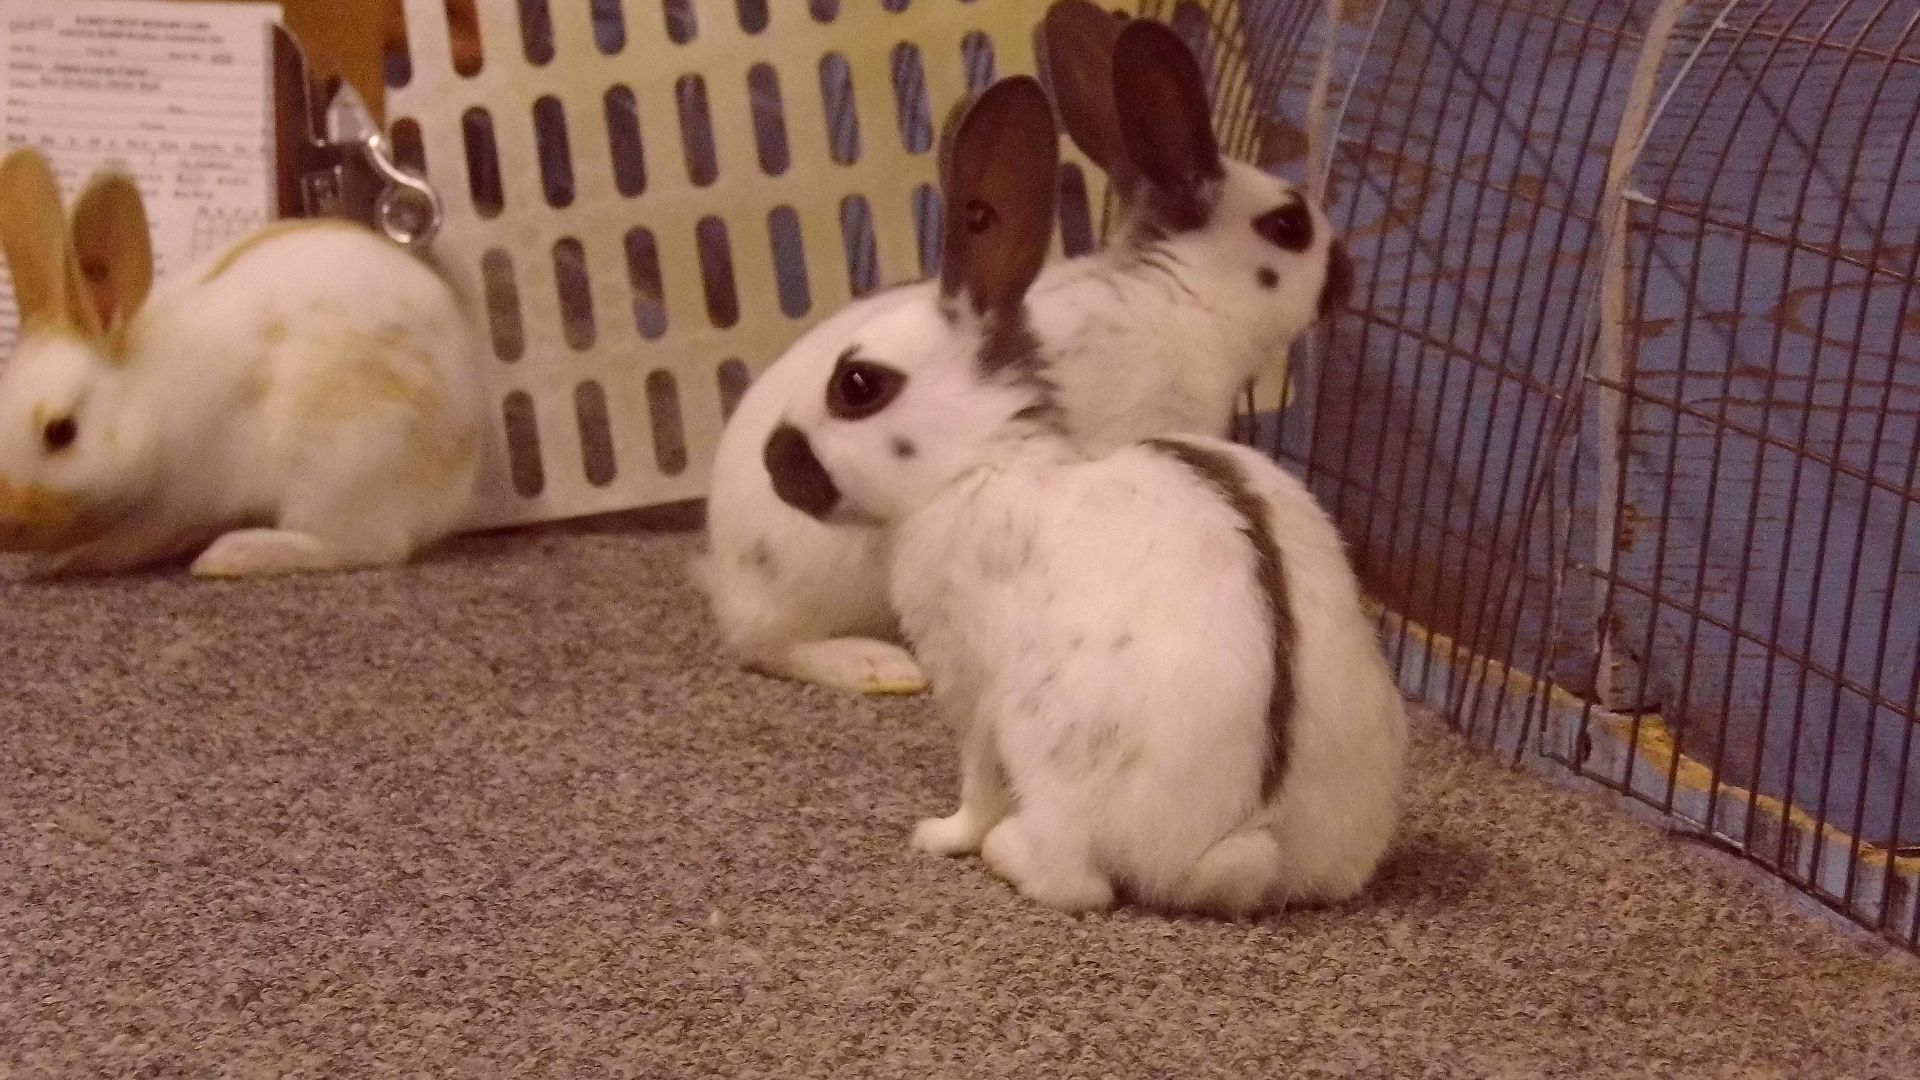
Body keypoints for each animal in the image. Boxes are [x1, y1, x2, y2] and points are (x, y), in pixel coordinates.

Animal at [0, 148, 484, 578]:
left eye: (60, 432)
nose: (6, 521)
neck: (151, 404)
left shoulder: (174, 508)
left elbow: (127, 544)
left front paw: (71, 561)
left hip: (345, 466)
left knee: (368, 545)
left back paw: (235, 554)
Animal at [698, 1, 1355, 695]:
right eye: (1288, 226)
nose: (1349, 277)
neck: (1178, 299)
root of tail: (724, 569)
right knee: (764, 647)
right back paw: (877, 665)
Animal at [759, 75, 1404, 915]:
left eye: (859, 385)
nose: (774, 462)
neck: (982, 462)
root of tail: (1236, 850)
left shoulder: (971, 686)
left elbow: (977, 783)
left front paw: (937, 836)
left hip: (1049, 749)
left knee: (1077, 881)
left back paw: (1003, 853)